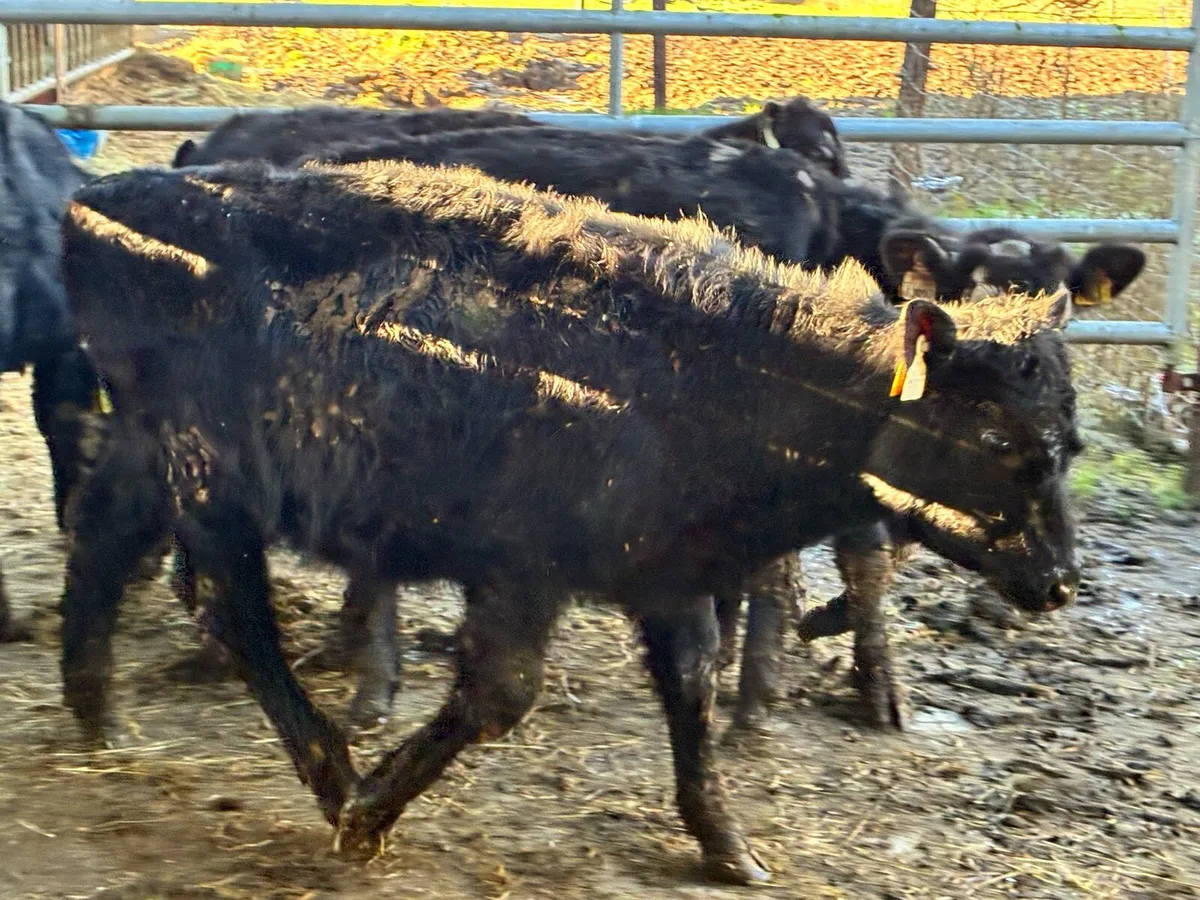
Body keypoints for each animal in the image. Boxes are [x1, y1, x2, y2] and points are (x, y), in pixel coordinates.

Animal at [61, 158, 1082, 883]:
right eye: (995, 433)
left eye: (1069, 435)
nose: (1061, 580)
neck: (724, 376)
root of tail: (100, 198)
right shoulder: (522, 573)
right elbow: (500, 697)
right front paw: (367, 817)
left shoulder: (669, 577)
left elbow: (692, 691)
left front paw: (729, 847)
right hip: (211, 478)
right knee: (230, 612)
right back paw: (329, 772)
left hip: (150, 453)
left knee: (102, 536)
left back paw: (98, 718)